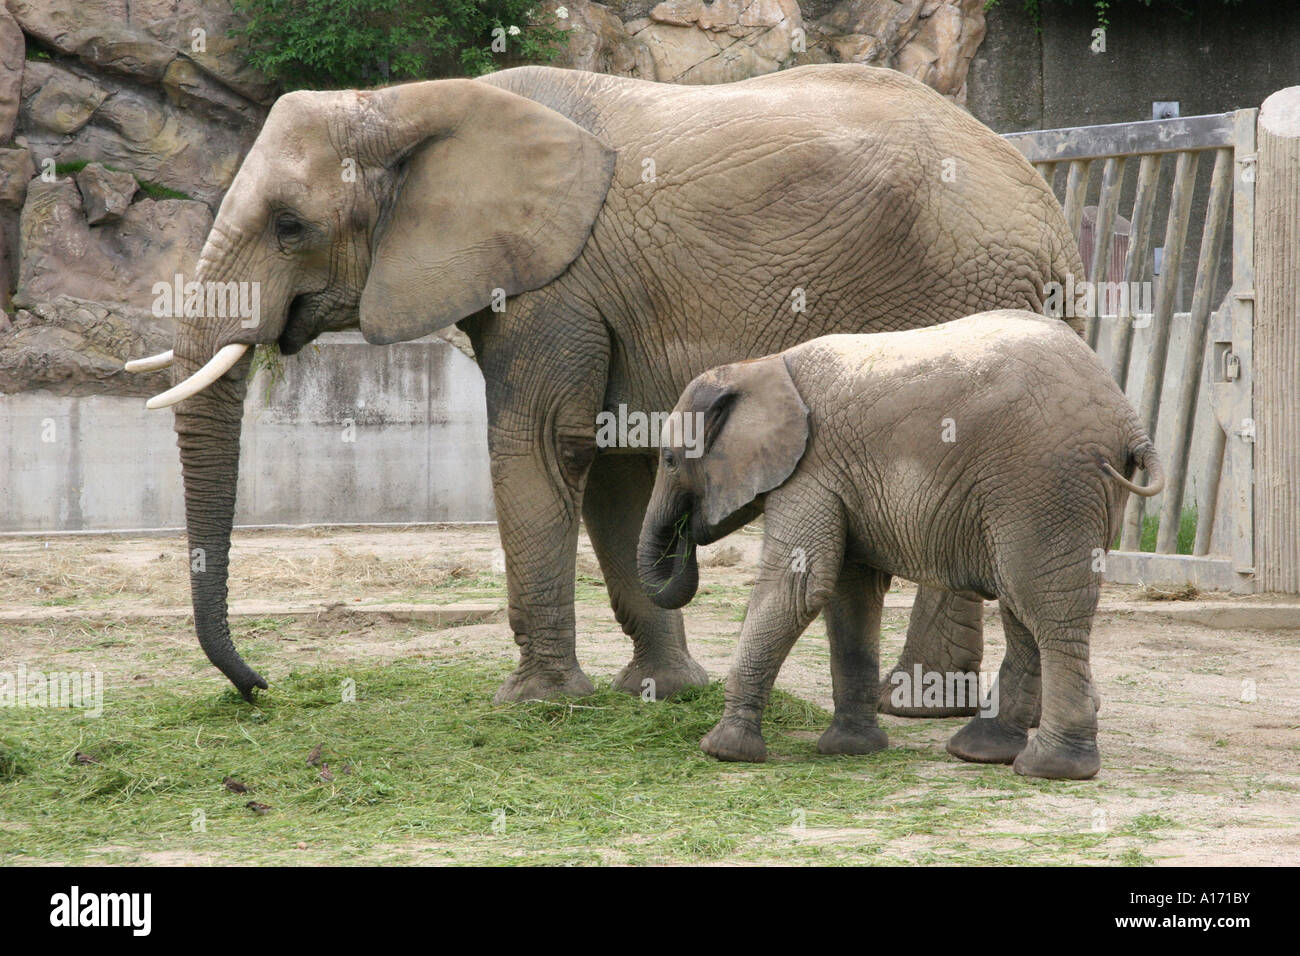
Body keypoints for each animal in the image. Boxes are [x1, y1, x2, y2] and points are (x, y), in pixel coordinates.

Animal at [123, 64, 1085, 707]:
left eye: (290, 225)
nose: (261, 686)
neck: (409, 101)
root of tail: (1056, 222)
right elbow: (611, 465)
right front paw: (663, 691)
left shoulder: (558, 280)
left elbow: (542, 444)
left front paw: (538, 704)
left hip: (965, 289)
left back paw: (915, 704)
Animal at [637, 310, 1165, 780]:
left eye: (669, 460)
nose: (685, 536)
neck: (760, 366)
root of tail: (1129, 420)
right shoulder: (839, 476)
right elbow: (848, 594)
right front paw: (850, 750)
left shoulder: (811, 469)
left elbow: (798, 586)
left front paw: (722, 750)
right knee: (1025, 606)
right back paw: (981, 753)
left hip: (1043, 484)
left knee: (1045, 607)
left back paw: (1050, 769)